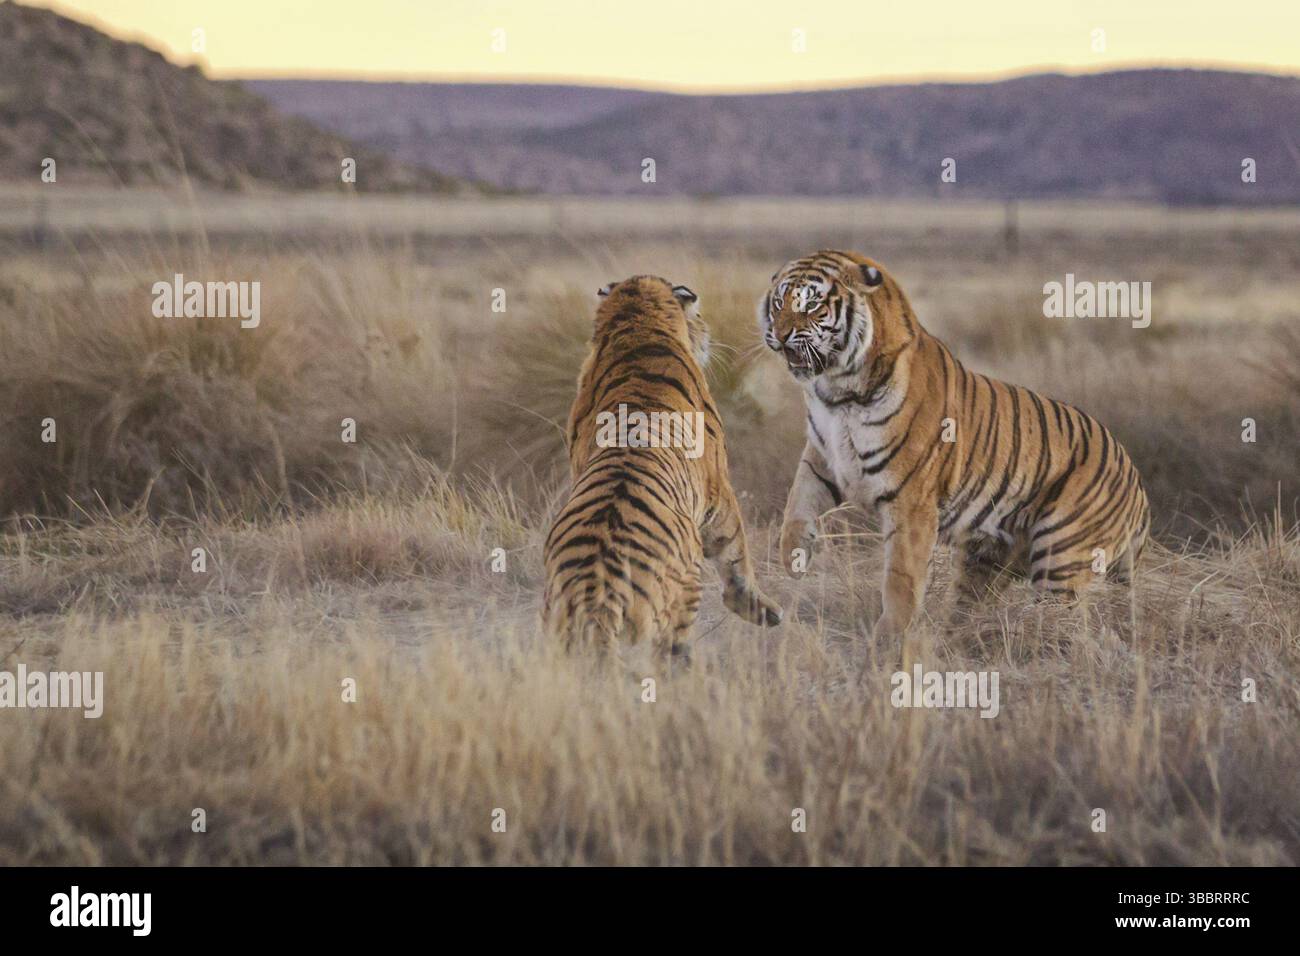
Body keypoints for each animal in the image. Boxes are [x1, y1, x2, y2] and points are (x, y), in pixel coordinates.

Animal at [542, 275, 782, 657]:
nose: (709, 332)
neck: (637, 325)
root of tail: (597, 593)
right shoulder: (719, 492)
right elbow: (735, 553)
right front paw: (763, 610)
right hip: (682, 594)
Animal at [759, 249, 1150, 639]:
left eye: (812, 304)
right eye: (779, 302)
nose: (778, 335)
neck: (839, 392)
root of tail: (1136, 479)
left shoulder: (911, 498)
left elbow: (901, 575)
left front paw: (890, 636)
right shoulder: (823, 458)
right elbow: (797, 503)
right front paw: (793, 556)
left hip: (1061, 559)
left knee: (1066, 626)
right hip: (985, 560)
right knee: (968, 608)